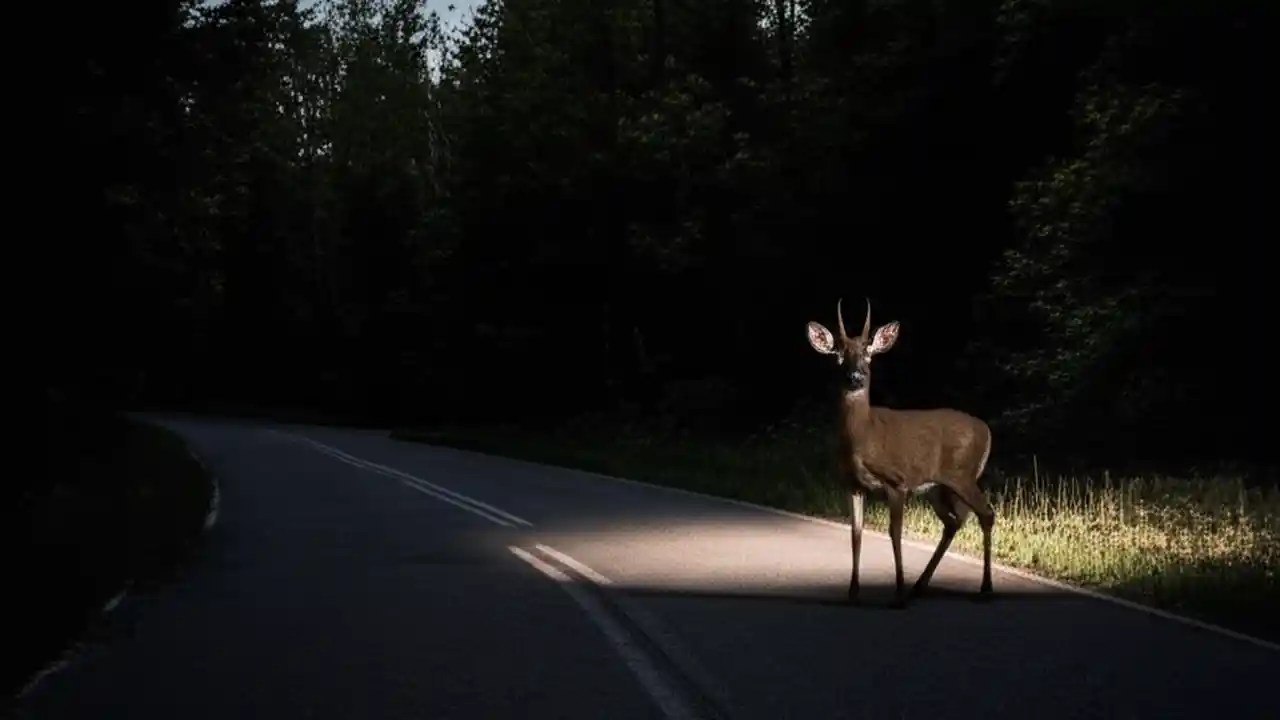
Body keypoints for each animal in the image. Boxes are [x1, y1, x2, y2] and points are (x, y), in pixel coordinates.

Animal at [806, 298, 996, 608]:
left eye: (868, 352)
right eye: (839, 354)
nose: (855, 377)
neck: (864, 436)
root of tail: (987, 430)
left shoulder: (898, 482)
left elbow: (894, 533)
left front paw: (898, 595)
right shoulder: (853, 485)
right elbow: (855, 534)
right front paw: (853, 593)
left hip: (963, 475)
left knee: (986, 513)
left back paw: (985, 589)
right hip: (938, 487)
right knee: (953, 521)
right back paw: (920, 586)